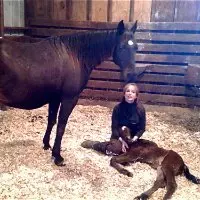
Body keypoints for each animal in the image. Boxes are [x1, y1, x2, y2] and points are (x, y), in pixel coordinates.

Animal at [0, 21, 139, 166]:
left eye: (136, 47)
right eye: (122, 47)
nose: (132, 75)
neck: (75, 55)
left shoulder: (55, 98)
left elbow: (51, 121)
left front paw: (46, 145)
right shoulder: (69, 99)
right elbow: (61, 125)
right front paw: (57, 156)